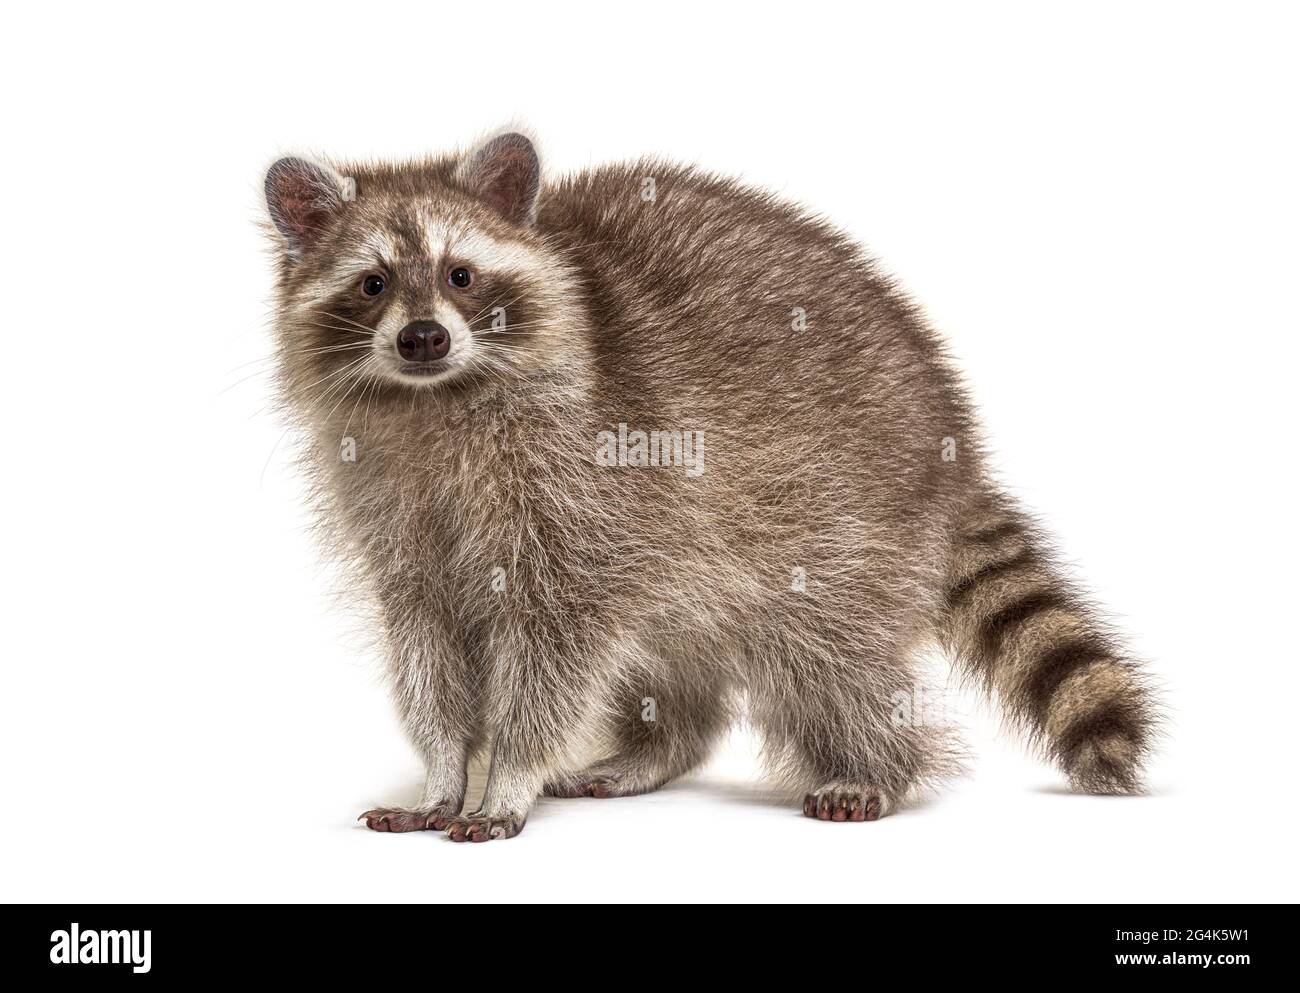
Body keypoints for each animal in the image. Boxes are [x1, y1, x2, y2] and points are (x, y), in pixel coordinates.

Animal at [263, 131, 1157, 841]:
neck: (435, 399)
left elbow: (554, 643)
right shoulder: (392, 504)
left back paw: (878, 763)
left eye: (460, 275)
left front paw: (509, 772)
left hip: (845, 514)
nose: (423, 338)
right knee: (674, 651)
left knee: (830, 654)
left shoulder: (586, 483)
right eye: (374, 283)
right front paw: (444, 773)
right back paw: (661, 746)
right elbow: (427, 642)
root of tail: (955, 444)